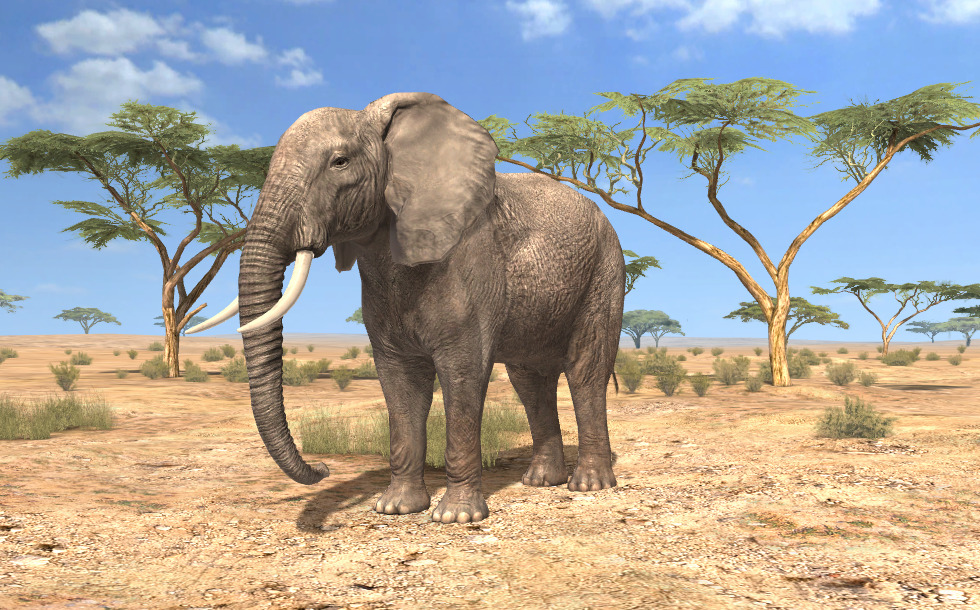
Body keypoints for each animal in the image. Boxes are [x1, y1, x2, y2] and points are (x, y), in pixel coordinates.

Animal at [187, 92, 625, 524]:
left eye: (340, 162)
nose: (323, 468)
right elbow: (398, 381)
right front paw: (395, 508)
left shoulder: (470, 261)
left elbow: (463, 372)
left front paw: (456, 517)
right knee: (530, 381)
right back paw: (540, 481)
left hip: (605, 269)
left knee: (585, 369)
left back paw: (588, 485)